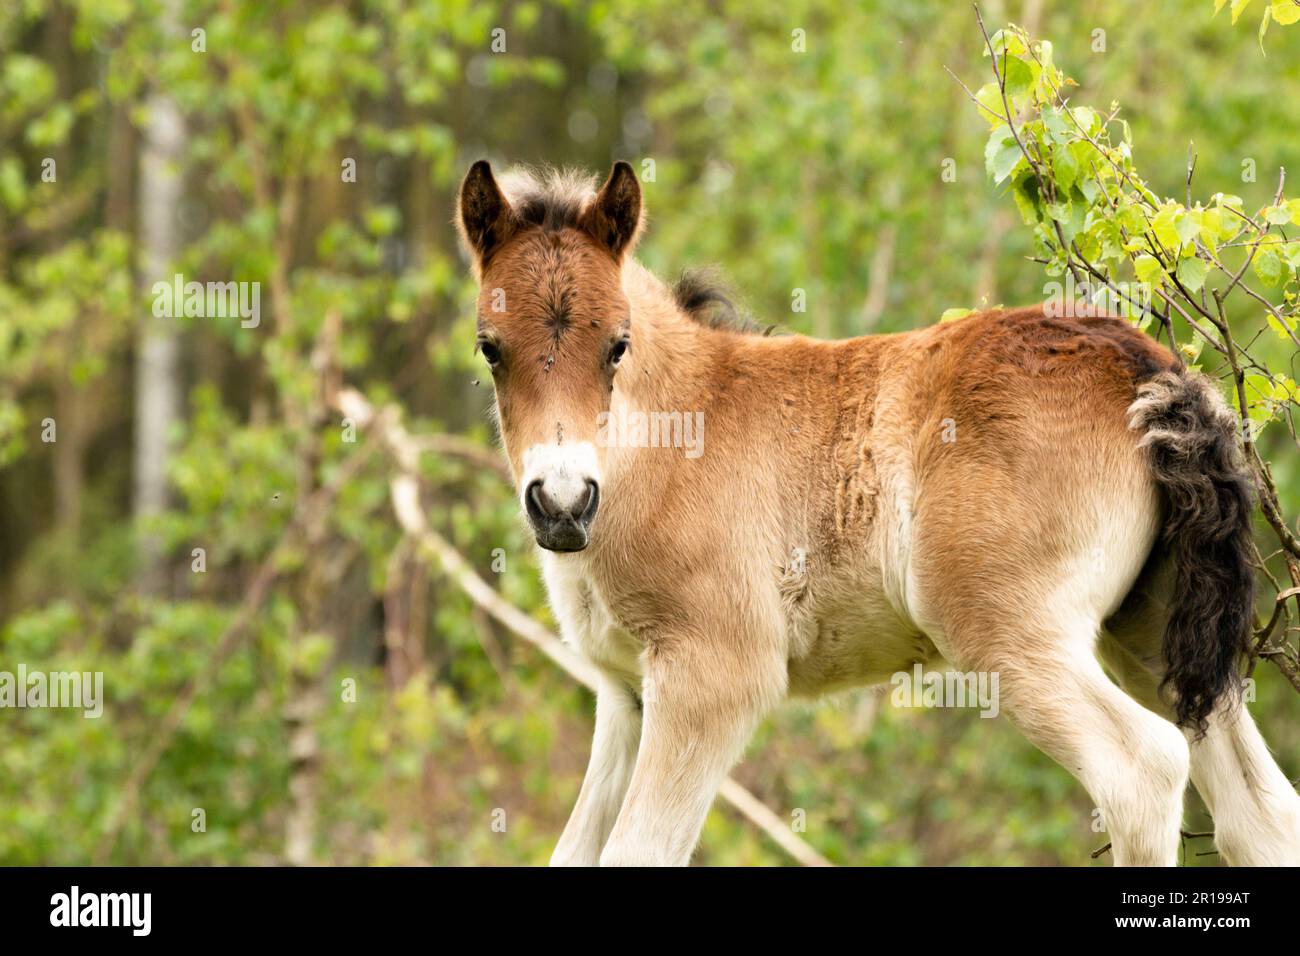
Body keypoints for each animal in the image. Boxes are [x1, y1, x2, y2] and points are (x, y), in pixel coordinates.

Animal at [456, 159, 1300, 866]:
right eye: (490, 347)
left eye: (618, 344)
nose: (563, 502)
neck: (664, 443)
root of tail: (1145, 363)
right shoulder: (626, 693)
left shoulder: (714, 673)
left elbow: (637, 852)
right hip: (1154, 636)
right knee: (1260, 816)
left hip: (1009, 631)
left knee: (1143, 772)